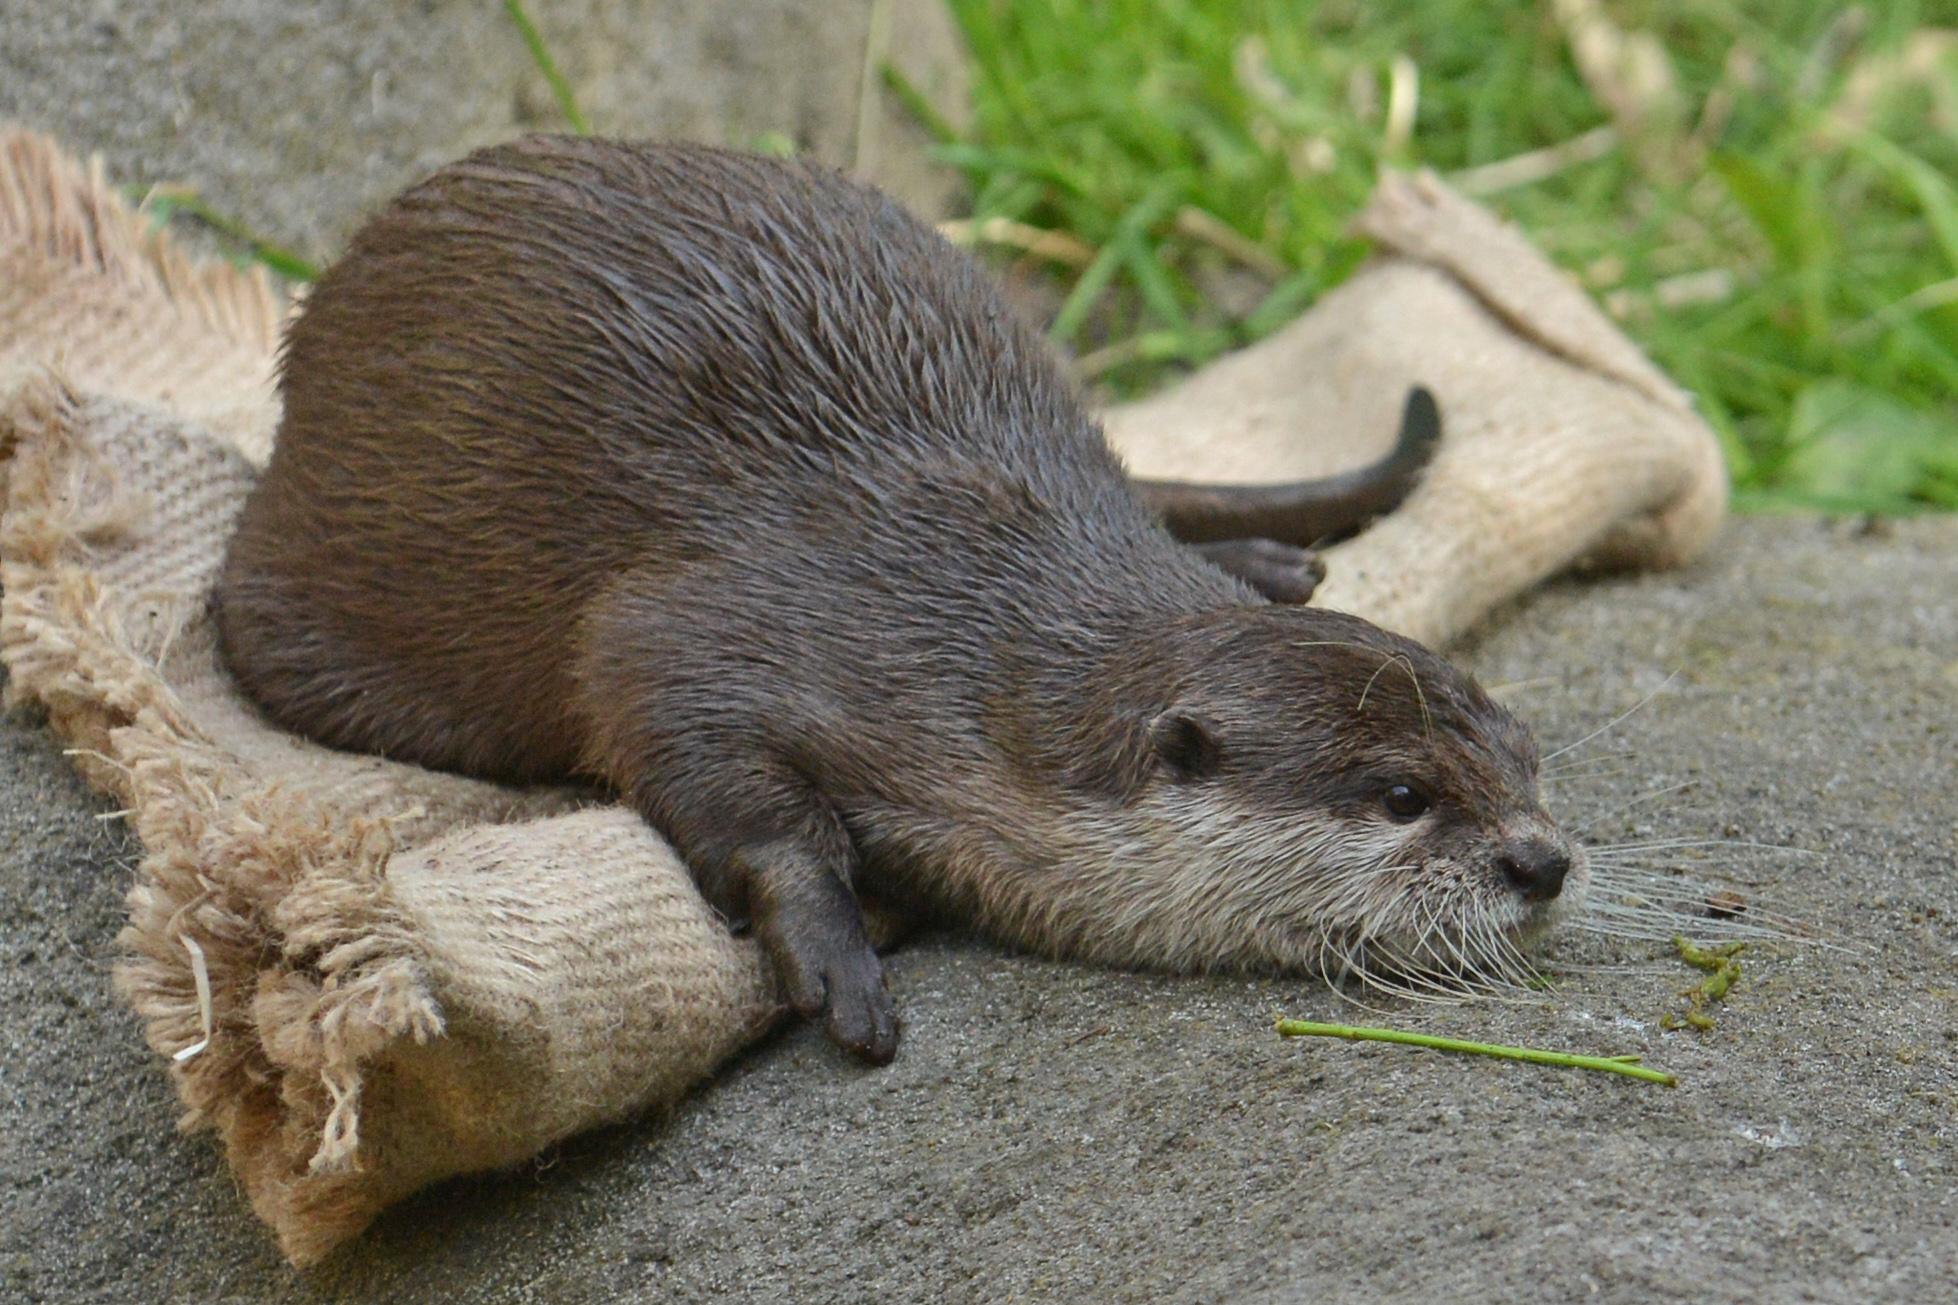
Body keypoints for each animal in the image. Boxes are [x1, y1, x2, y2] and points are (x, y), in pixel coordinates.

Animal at [217, 135, 1584, 1065]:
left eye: (1523, 753)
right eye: (1401, 797)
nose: (1541, 859)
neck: (960, 634)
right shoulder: (717, 632)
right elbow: (669, 722)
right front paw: (833, 953)